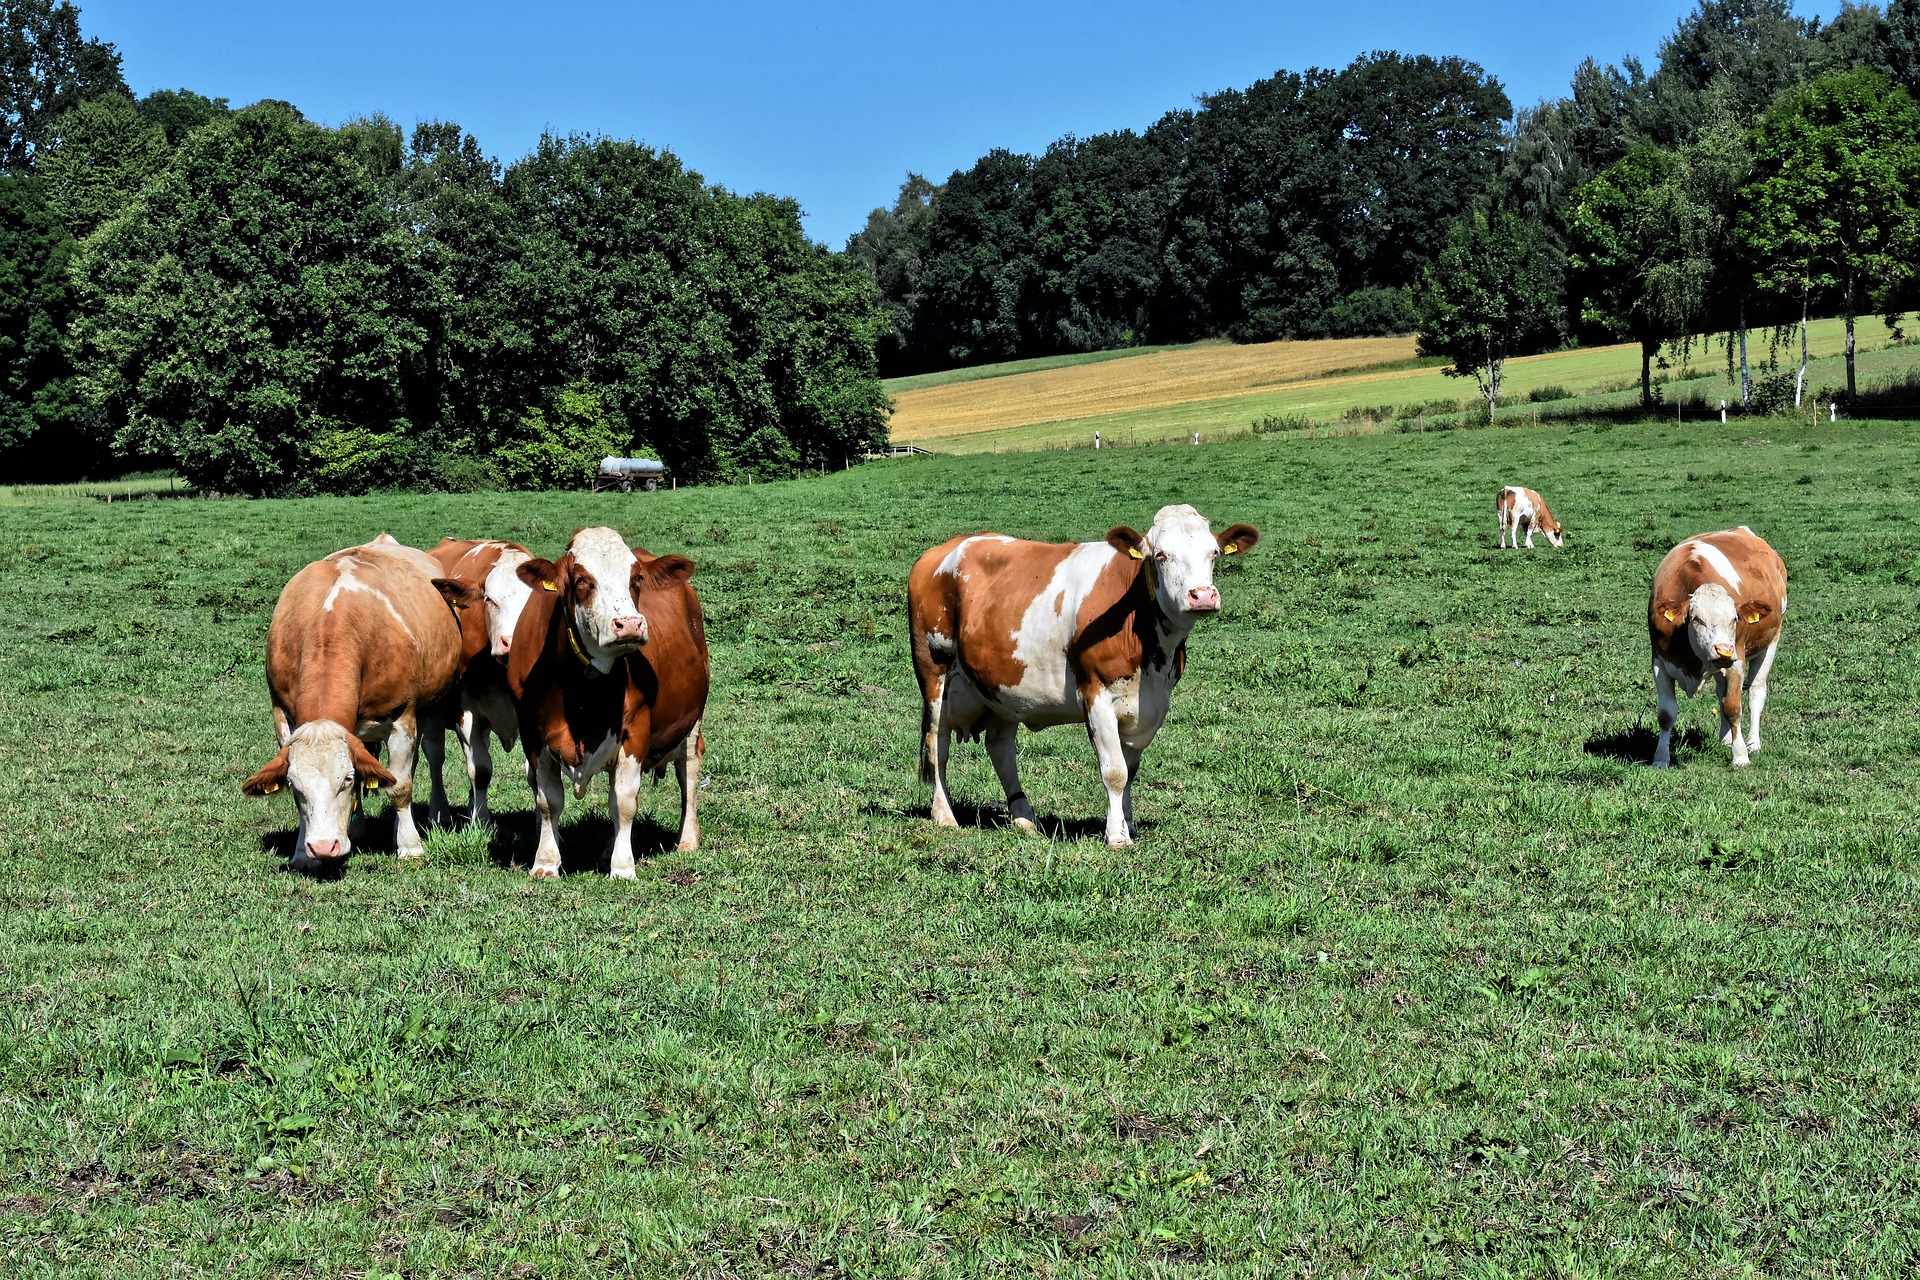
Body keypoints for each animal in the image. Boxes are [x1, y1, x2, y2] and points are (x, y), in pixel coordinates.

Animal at [242, 535, 478, 866]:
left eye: (347, 779)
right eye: (294, 784)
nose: (323, 846)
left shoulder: (402, 719)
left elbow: (399, 785)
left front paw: (409, 846)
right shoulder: (282, 717)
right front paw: (302, 853)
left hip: (431, 706)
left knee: (431, 757)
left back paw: (433, 814)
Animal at [428, 538, 535, 828]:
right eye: (489, 599)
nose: (512, 643)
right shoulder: (466, 712)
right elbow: (481, 771)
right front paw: (482, 824)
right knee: (435, 757)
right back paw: (439, 812)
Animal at [506, 527, 709, 878]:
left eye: (636, 578)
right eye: (581, 580)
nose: (629, 624)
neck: (582, 693)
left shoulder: (635, 732)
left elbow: (625, 801)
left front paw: (623, 866)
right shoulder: (532, 735)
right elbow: (548, 801)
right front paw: (546, 862)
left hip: (692, 721)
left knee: (689, 773)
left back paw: (686, 840)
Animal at [908, 503, 1259, 849]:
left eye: (1213, 553)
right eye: (1161, 555)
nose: (1203, 595)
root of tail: (942, 550)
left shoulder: (1150, 704)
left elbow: (1130, 770)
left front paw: (1128, 825)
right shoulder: (1096, 694)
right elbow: (1115, 771)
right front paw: (1116, 836)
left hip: (1001, 685)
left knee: (1001, 747)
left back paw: (1025, 818)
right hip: (934, 672)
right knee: (938, 743)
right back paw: (945, 816)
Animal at [1648, 525, 1786, 769]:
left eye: (1735, 619)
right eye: (1696, 619)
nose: (1723, 650)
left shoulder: (1736, 662)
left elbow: (1733, 708)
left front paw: (1740, 756)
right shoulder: (1660, 662)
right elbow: (1666, 714)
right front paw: (1661, 759)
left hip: (1770, 643)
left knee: (1756, 691)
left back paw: (1752, 743)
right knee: (1721, 694)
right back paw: (1725, 738)